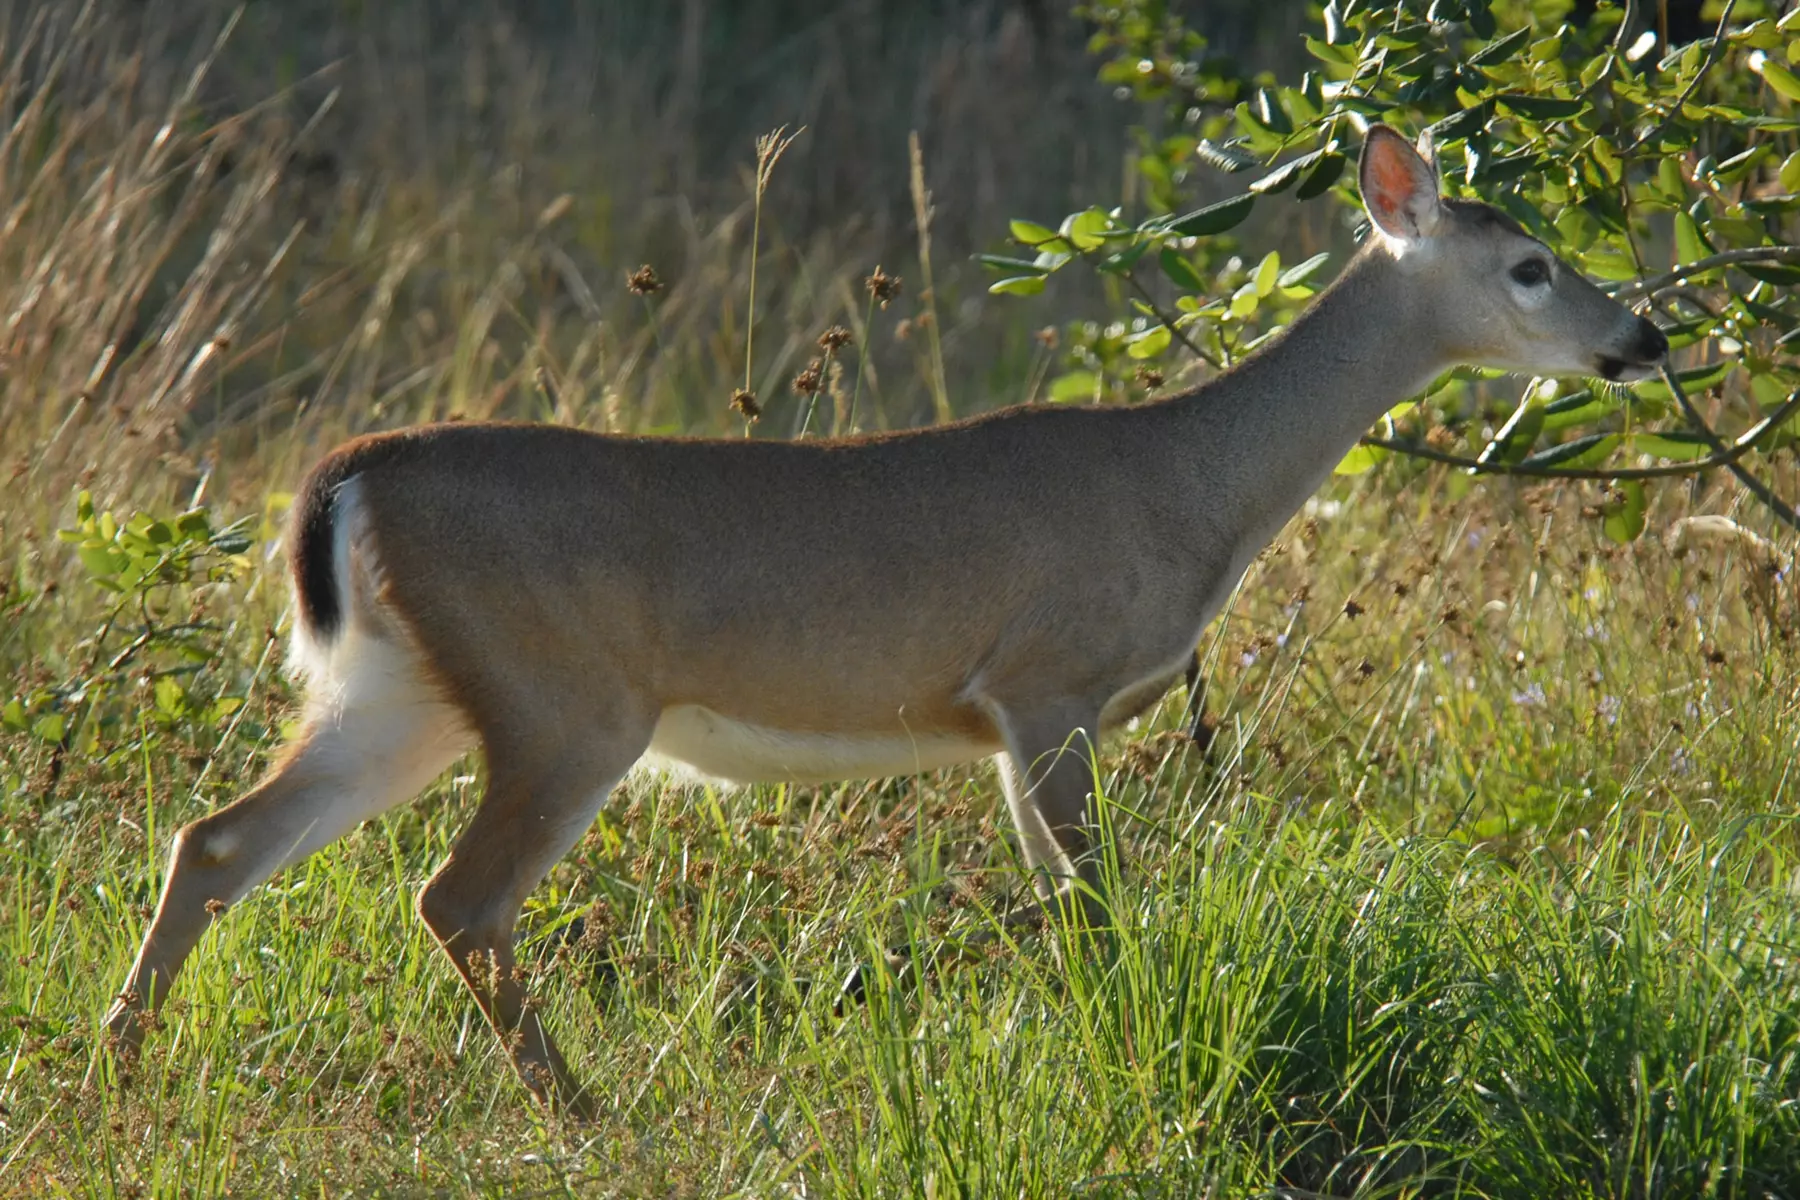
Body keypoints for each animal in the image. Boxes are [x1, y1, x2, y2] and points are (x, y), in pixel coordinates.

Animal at [102, 124, 1670, 1115]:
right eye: (1530, 263)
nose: (1643, 336)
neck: (1192, 485)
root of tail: (350, 476)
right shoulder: (1049, 682)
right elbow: (1099, 904)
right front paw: (1134, 1054)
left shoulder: (1012, 723)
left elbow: (1066, 907)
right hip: (565, 704)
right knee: (453, 898)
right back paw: (585, 1111)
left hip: (404, 691)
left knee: (219, 840)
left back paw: (117, 1065)